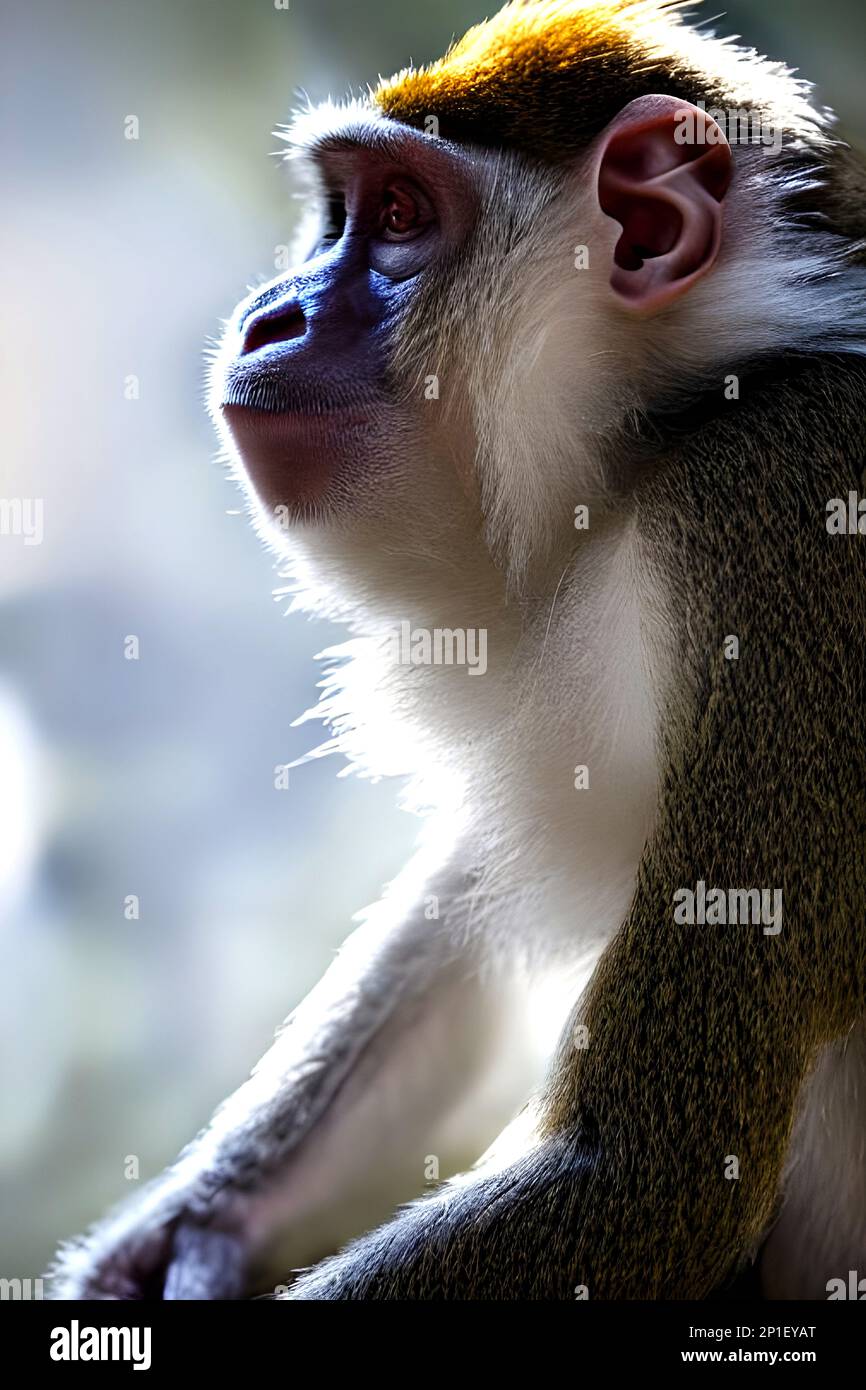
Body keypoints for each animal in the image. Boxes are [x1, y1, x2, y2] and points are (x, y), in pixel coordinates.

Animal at [50, 0, 866, 1300]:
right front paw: (188, 1231)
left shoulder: (775, 523)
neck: (648, 454)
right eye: (340, 209)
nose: (269, 314)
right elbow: (473, 943)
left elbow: (643, 1170)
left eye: (397, 218)